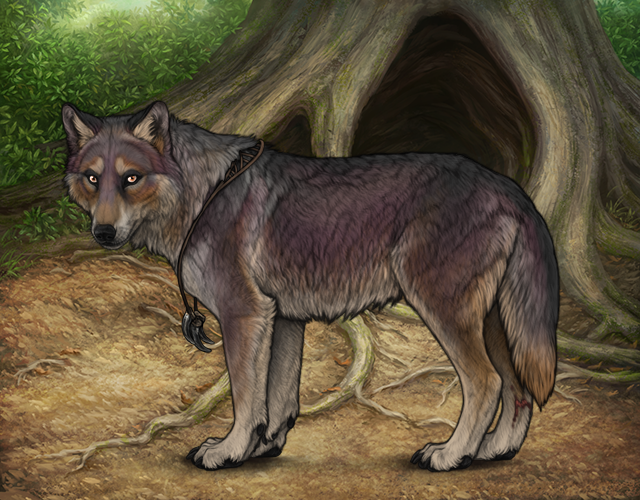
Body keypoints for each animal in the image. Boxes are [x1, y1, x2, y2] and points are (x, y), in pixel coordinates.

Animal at [62, 101, 558, 472]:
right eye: (93, 179)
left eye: (131, 178)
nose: (103, 233)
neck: (203, 195)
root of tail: (508, 186)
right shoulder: (282, 319)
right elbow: (276, 400)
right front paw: (261, 449)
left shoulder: (246, 314)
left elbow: (246, 396)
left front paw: (228, 451)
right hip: (494, 324)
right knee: (517, 390)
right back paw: (494, 451)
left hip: (446, 313)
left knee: (486, 383)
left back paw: (451, 455)